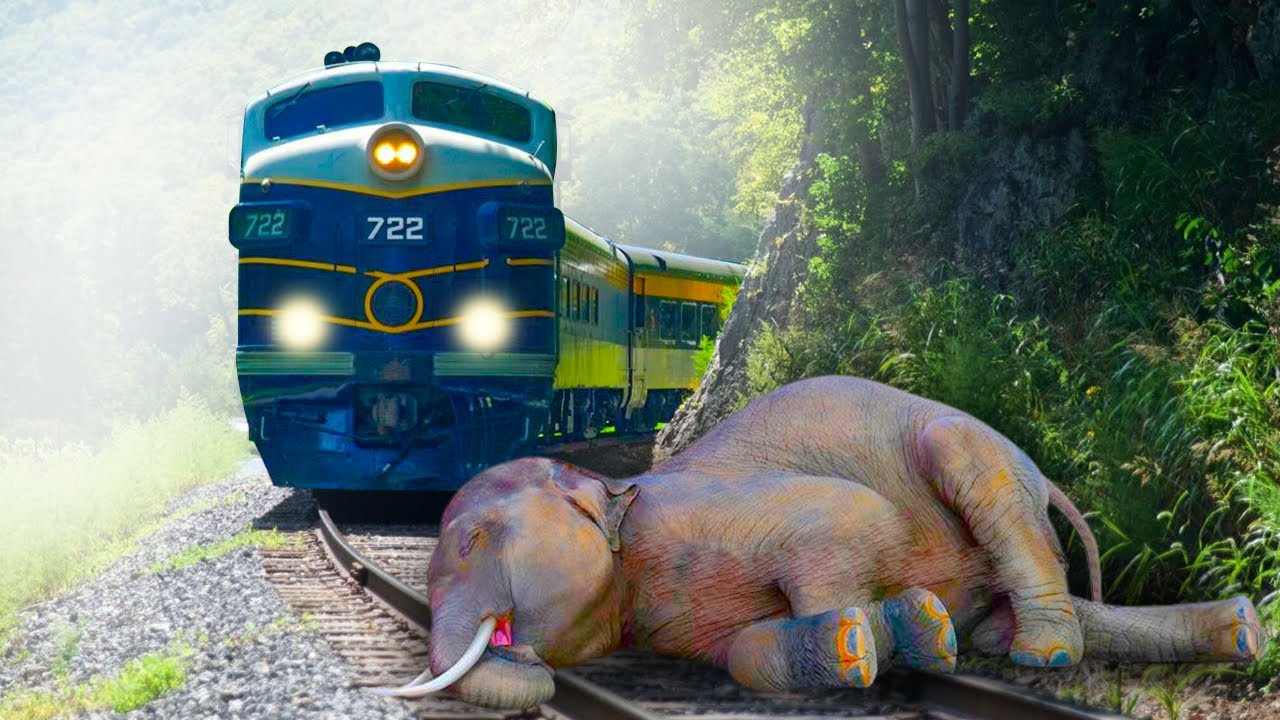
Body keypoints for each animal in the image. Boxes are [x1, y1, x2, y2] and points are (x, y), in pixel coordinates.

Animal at [376, 376, 1263, 709]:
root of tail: (1047, 477)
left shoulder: (717, 515)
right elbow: (738, 653)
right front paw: (903, 636)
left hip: (971, 452)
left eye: (475, 537)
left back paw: (1042, 656)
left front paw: (879, 639)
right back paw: (1243, 629)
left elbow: (849, 520)